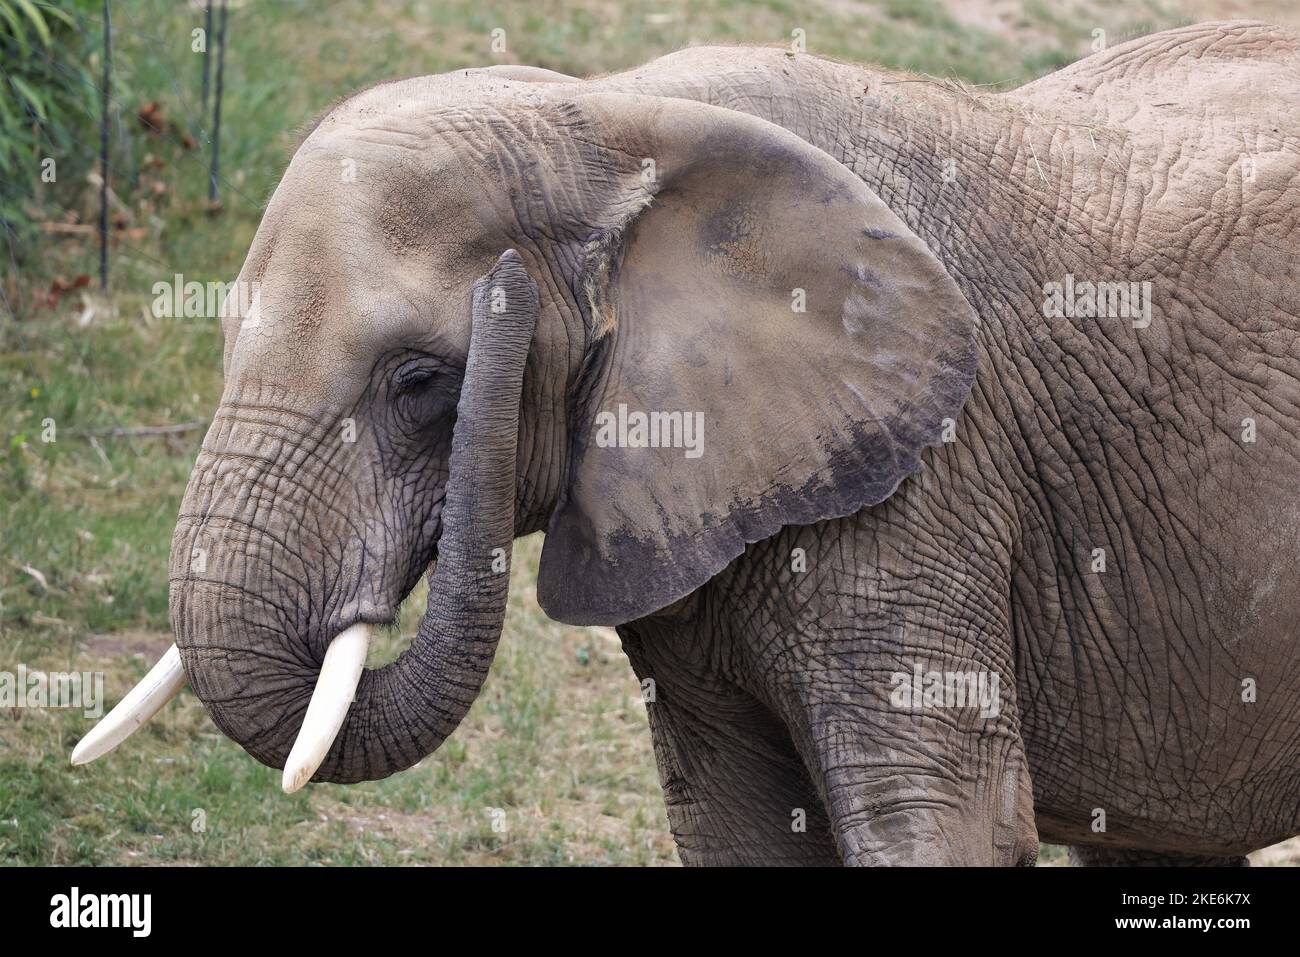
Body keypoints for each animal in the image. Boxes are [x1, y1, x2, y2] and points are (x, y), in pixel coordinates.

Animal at [74, 20, 1300, 866]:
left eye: (420, 382)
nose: (506, 292)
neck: (611, 120)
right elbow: (737, 830)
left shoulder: (932, 485)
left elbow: (946, 826)